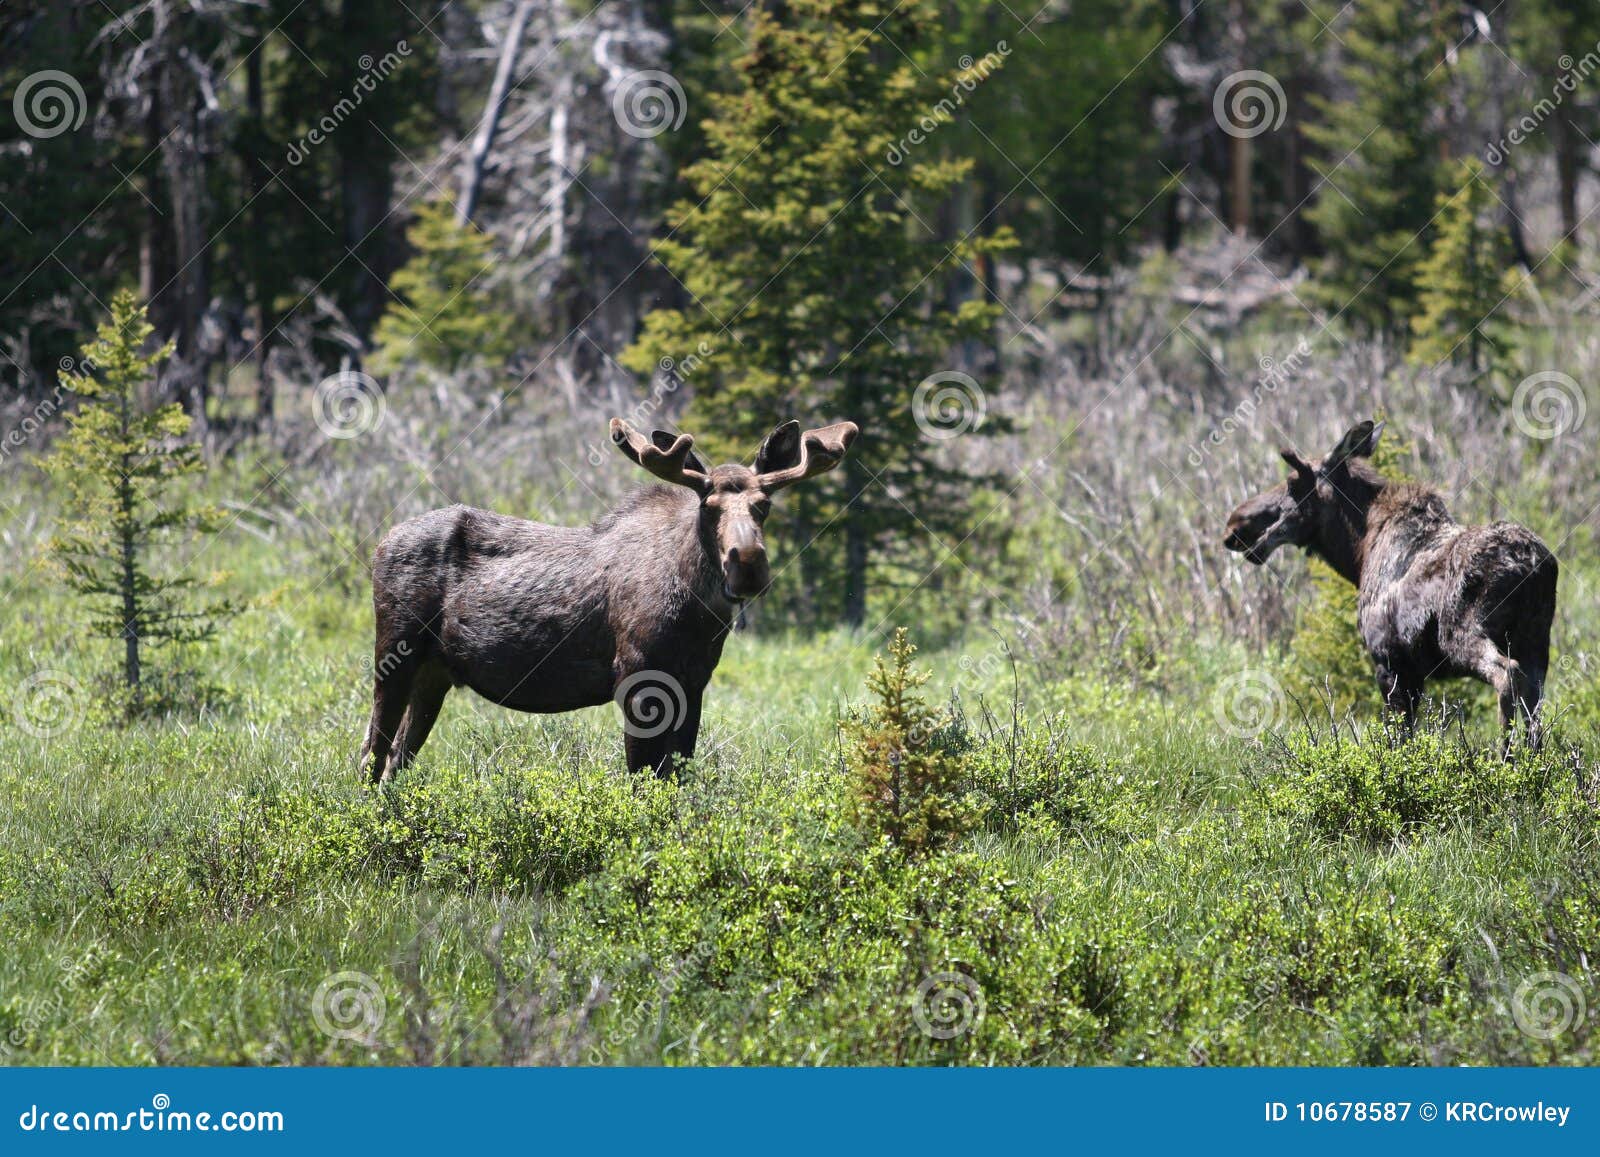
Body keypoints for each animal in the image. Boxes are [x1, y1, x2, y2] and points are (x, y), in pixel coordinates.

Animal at [359, 417, 859, 782]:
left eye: (764, 506)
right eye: (708, 506)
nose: (749, 562)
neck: (699, 619)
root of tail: (379, 543)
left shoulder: (693, 684)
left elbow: (676, 777)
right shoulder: (637, 677)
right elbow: (642, 778)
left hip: (435, 673)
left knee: (396, 760)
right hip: (395, 651)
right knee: (370, 752)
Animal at [1224, 419, 1557, 750]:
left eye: (1293, 483)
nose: (1235, 524)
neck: (1357, 554)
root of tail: (1533, 565)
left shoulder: (1390, 661)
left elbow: (1397, 739)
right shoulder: (1412, 673)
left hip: (1464, 635)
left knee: (1507, 674)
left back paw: (1505, 758)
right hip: (1537, 642)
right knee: (1534, 701)